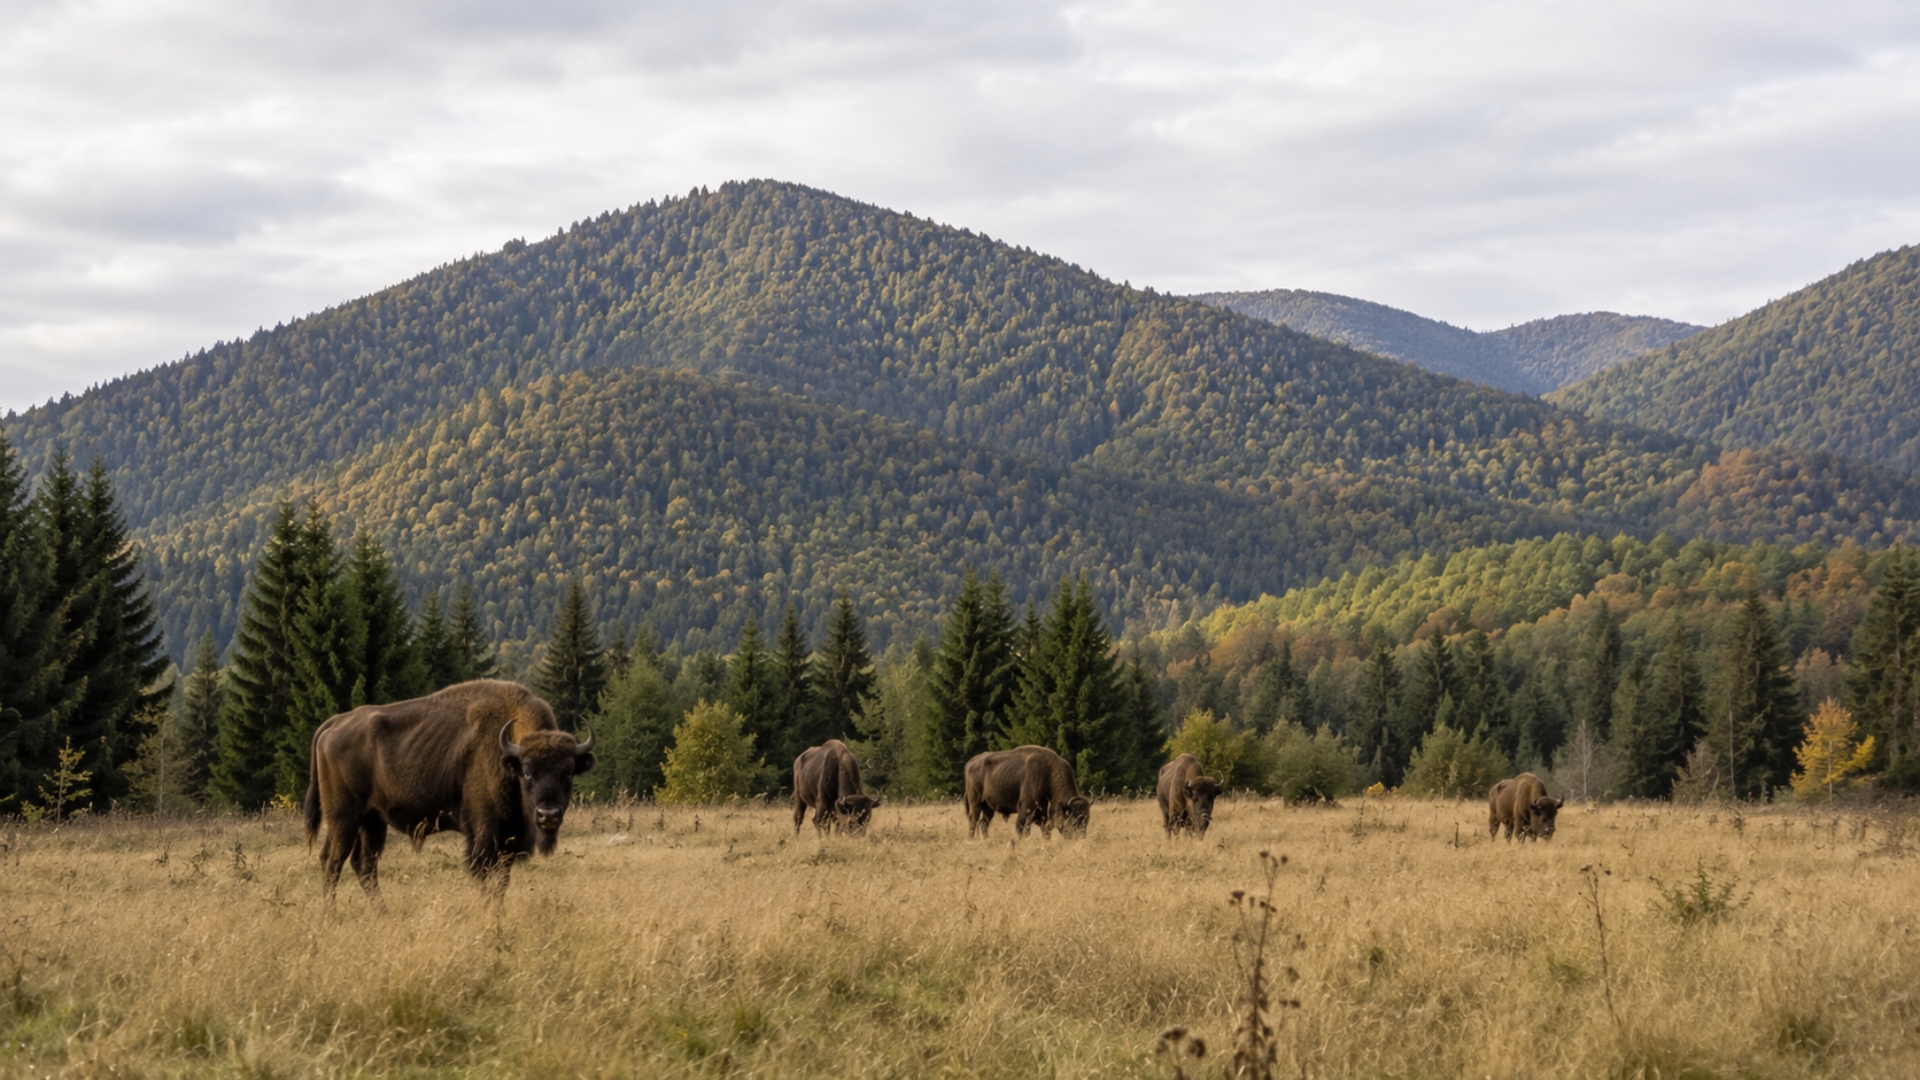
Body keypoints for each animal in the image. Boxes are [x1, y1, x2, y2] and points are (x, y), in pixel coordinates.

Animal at [303, 679, 595, 898]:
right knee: (332, 861)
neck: (508, 753)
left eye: (568, 772)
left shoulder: (507, 844)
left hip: (372, 820)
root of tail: (334, 723)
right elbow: (487, 882)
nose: (548, 815)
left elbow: (501, 884)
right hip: (343, 817)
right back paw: (331, 916)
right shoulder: (484, 838)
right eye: (527, 772)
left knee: (363, 864)